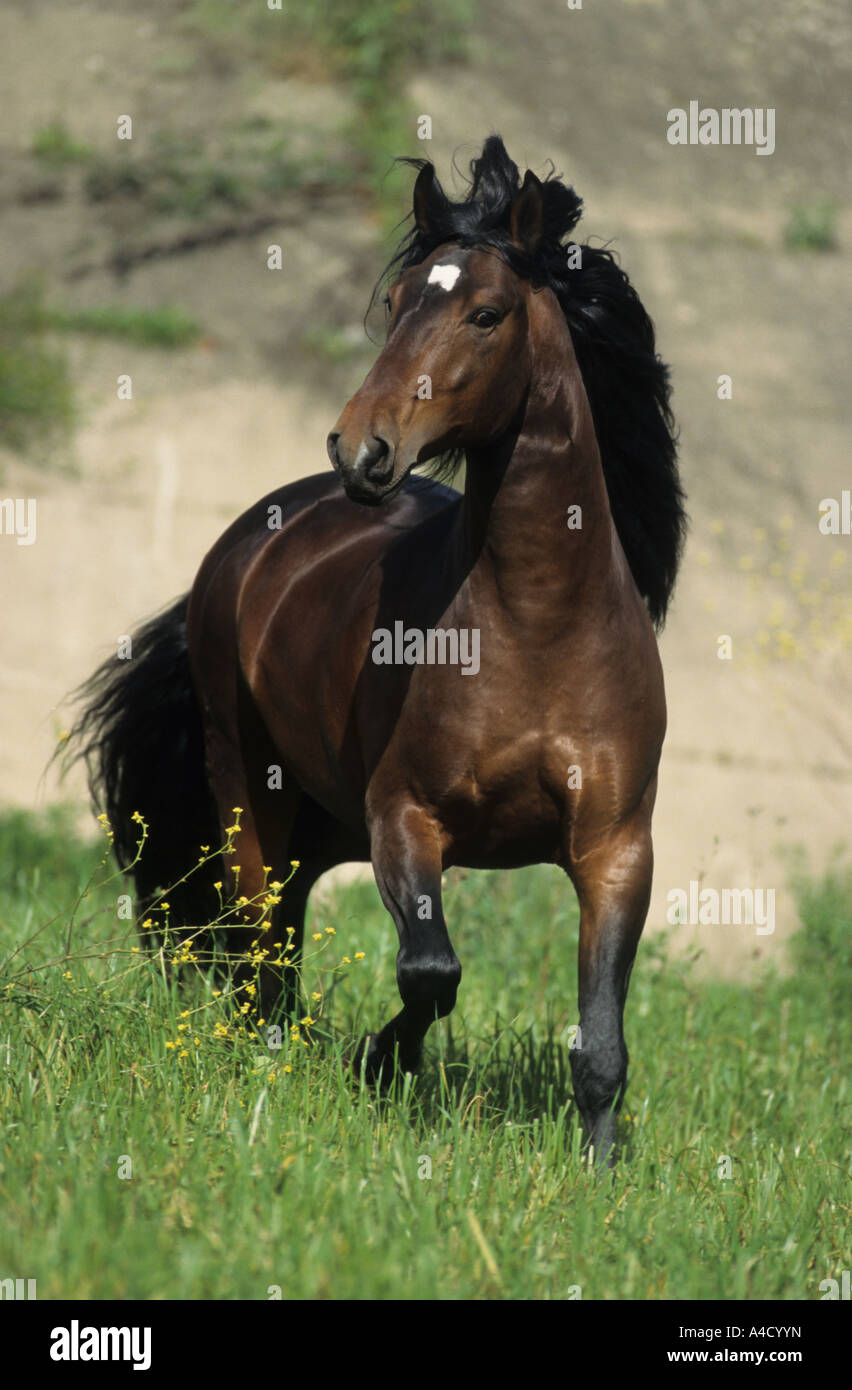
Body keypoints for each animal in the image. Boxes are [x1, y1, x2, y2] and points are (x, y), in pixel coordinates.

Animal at [70, 135, 685, 1165]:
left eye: (486, 312)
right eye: (396, 304)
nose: (361, 449)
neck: (539, 628)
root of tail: (259, 532)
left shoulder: (614, 849)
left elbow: (601, 1036)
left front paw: (602, 1162)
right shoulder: (407, 816)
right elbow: (431, 970)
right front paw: (377, 1063)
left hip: (327, 823)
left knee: (284, 930)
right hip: (254, 792)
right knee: (260, 931)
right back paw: (275, 1053)